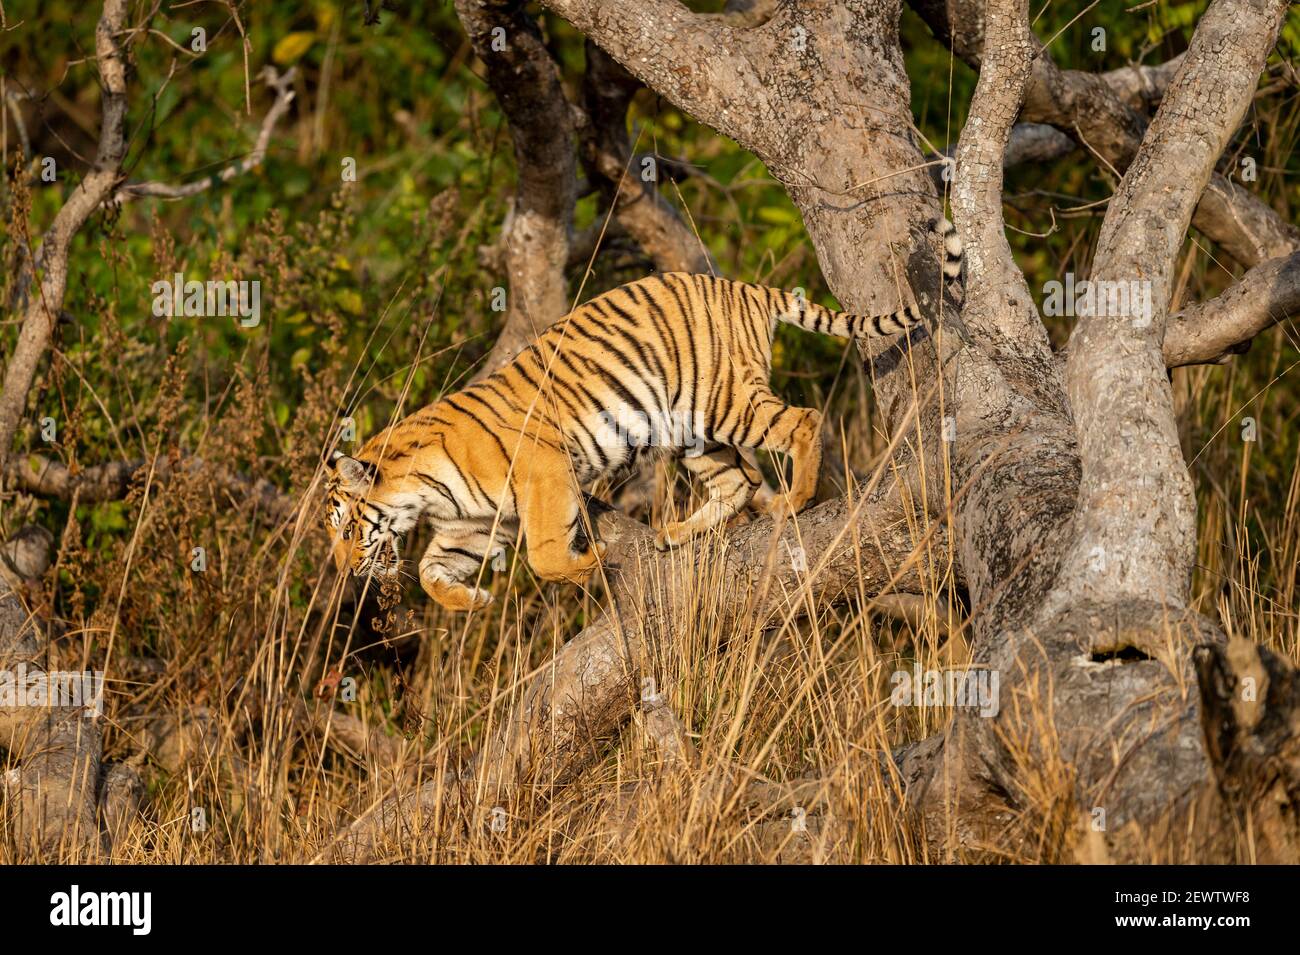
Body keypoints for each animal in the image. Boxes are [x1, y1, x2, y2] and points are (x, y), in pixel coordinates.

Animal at [324, 219, 962, 612]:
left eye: (347, 527)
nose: (342, 570)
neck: (424, 494)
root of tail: (747, 288)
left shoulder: (542, 472)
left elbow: (544, 554)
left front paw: (592, 563)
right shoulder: (475, 524)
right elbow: (436, 573)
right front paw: (473, 601)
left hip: (723, 402)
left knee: (802, 421)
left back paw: (792, 501)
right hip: (692, 433)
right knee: (738, 481)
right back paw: (675, 535)